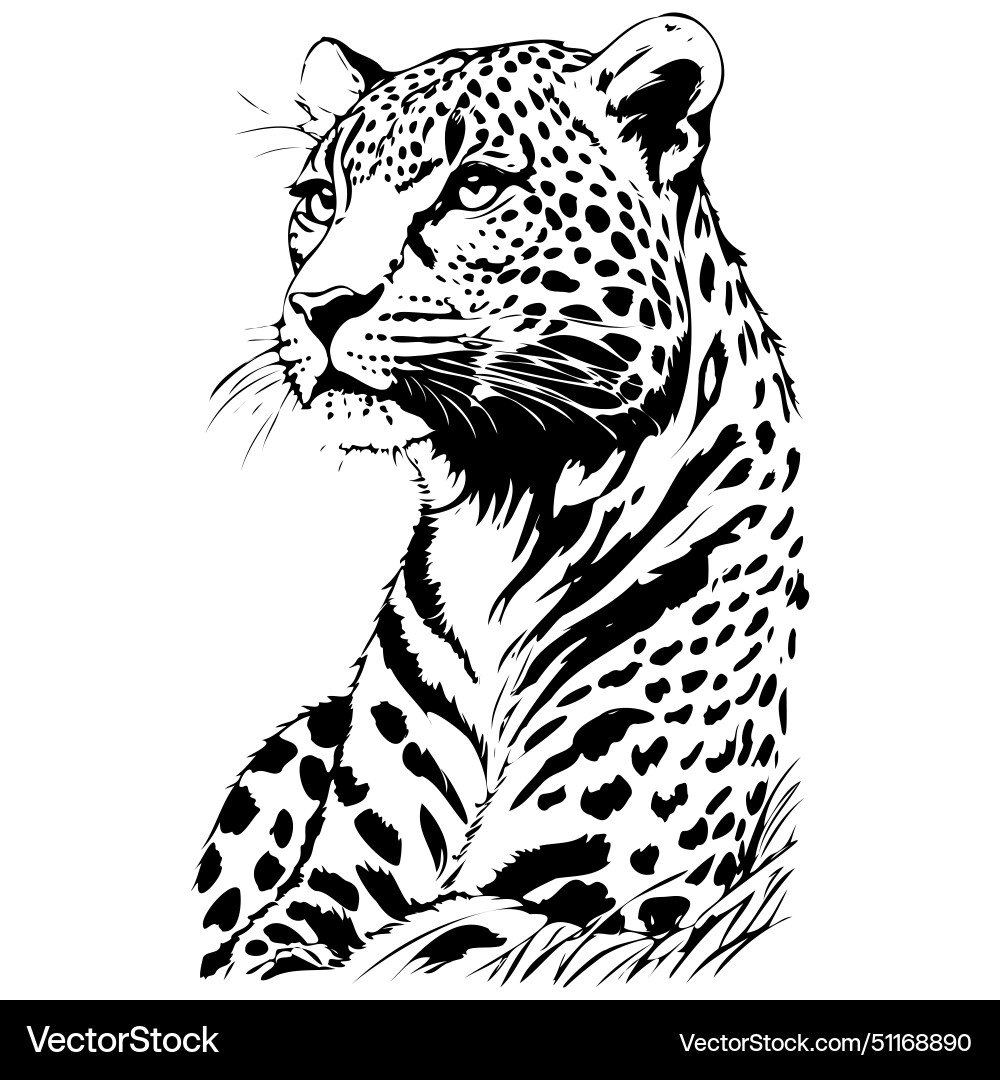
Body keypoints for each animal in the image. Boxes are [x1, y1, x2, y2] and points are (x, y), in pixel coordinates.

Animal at [200, 12, 808, 984]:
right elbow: (273, 945)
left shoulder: (595, 891)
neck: (503, 508)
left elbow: (431, 951)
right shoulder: (337, 879)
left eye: (475, 188)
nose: (318, 303)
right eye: (318, 201)